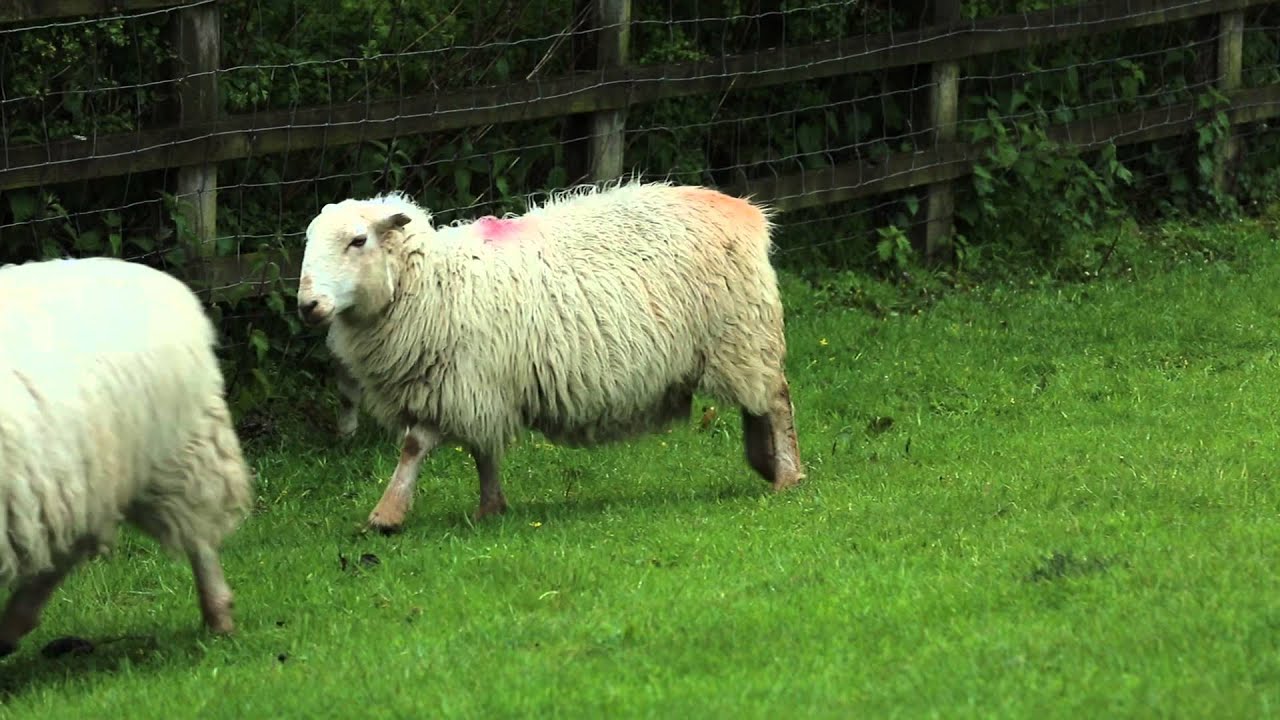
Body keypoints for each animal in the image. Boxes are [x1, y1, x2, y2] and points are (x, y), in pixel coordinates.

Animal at [296, 180, 804, 533]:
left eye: (358, 241)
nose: (307, 305)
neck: (435, 282)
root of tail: (746, 212)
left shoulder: (462, 379)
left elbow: (414, 446)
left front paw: (387, 514)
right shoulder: (478, 387)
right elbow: (481, 448)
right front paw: (490, 508)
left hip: (742, 334)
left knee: (775, 401)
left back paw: (787, 475)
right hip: (740, 341)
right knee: (757, 404)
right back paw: (764, 462)